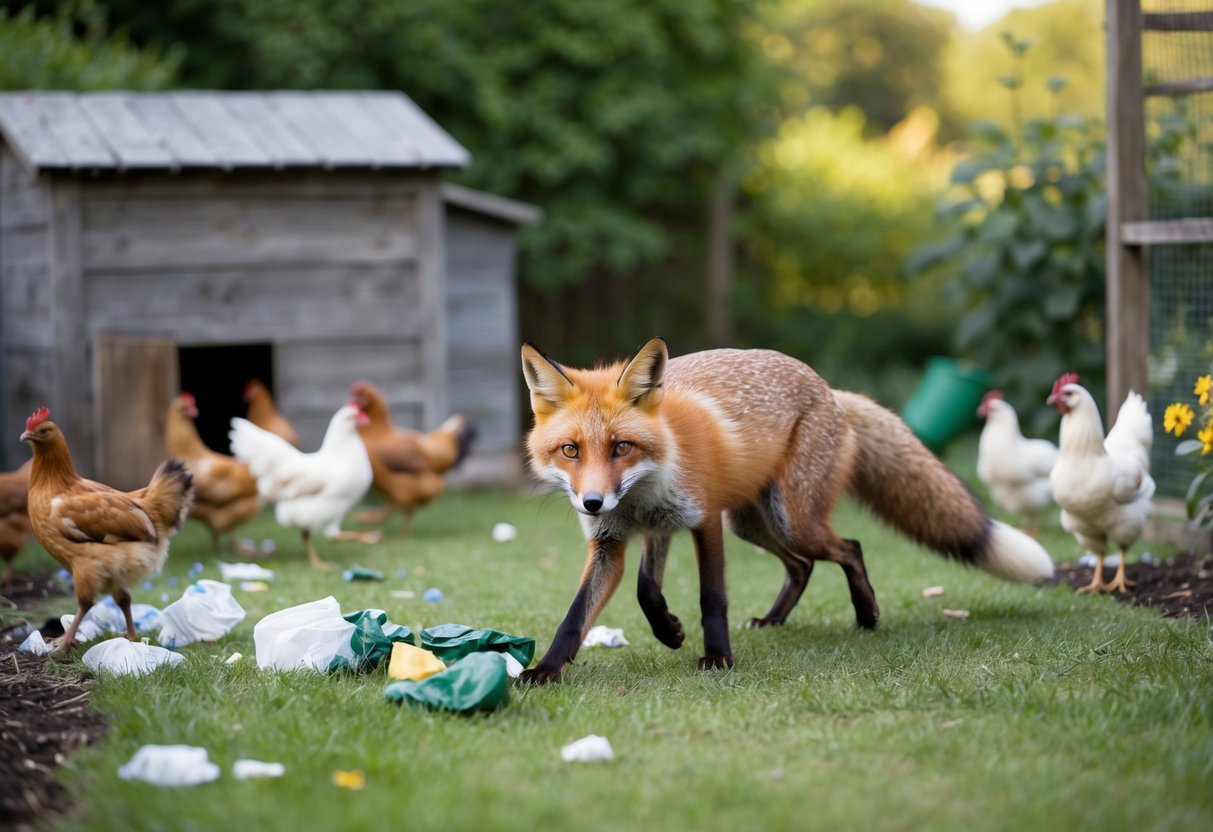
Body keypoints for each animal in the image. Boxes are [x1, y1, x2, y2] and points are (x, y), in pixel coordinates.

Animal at [517, 337, 1055, 685]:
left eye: (621, 447)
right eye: (570, 451)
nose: (592, 502)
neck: (641, 498)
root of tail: (830, 390)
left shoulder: (703, 521)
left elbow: (712, 598)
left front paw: (718, 658)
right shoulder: (623, 537)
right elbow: (606, 605)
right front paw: (548, 668)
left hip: (789, 519)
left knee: (848, 547)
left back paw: (867, 613)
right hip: (753, 523)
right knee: (802, 566)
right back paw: (775, 620)